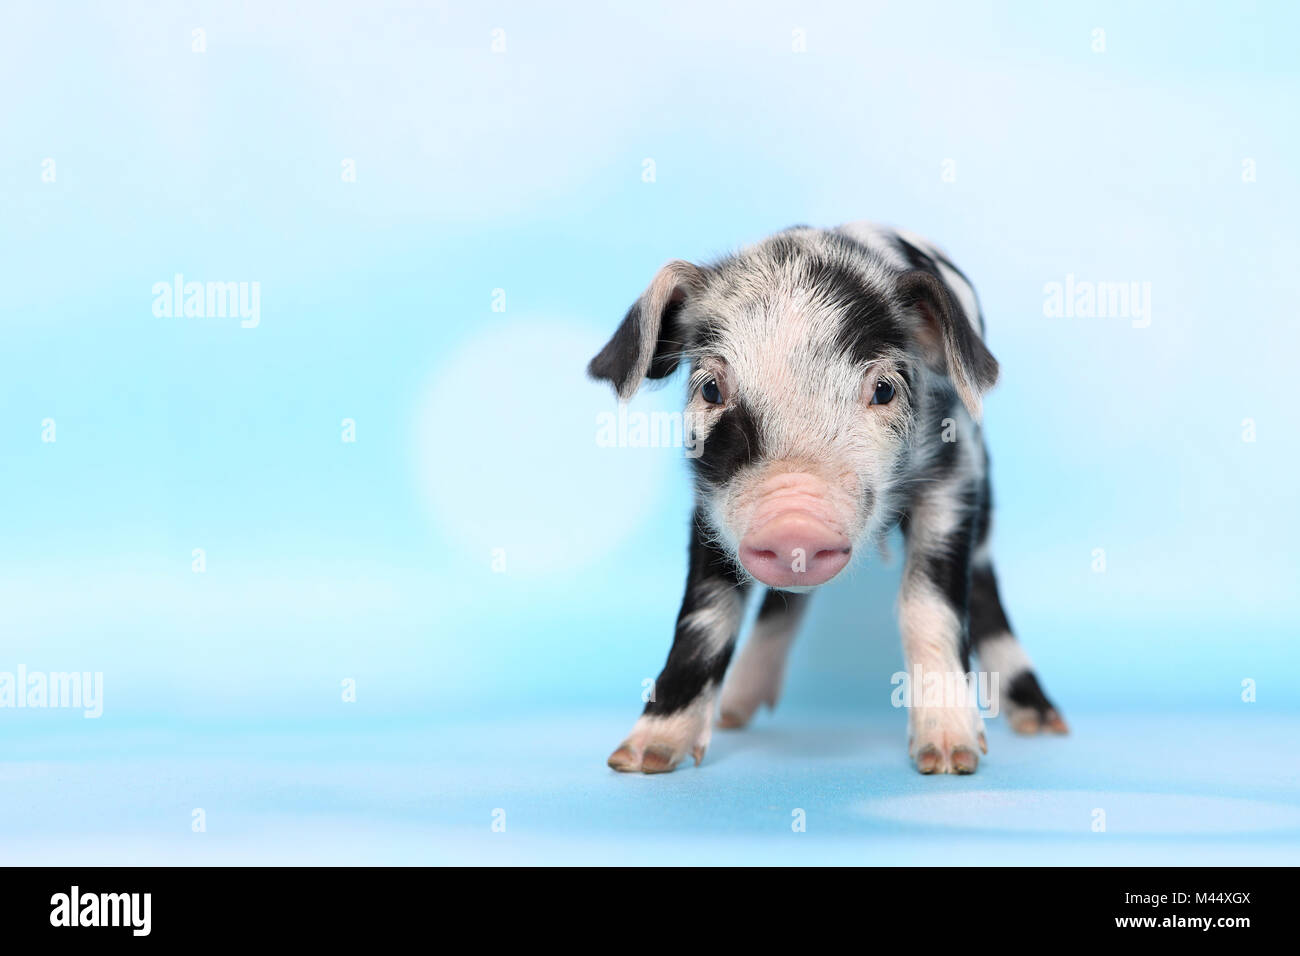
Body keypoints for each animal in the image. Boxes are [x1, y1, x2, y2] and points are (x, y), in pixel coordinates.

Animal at [588, 222, 1067, 775]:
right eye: (710, 390)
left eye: (883, 390)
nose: (794, 523)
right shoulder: (710, 506)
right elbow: (703, 616)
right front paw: (639, 758)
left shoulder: (955, 475)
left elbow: (928, 601)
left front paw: (949, 758)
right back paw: (734, 714)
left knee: (984, 583)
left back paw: (1045, 725)